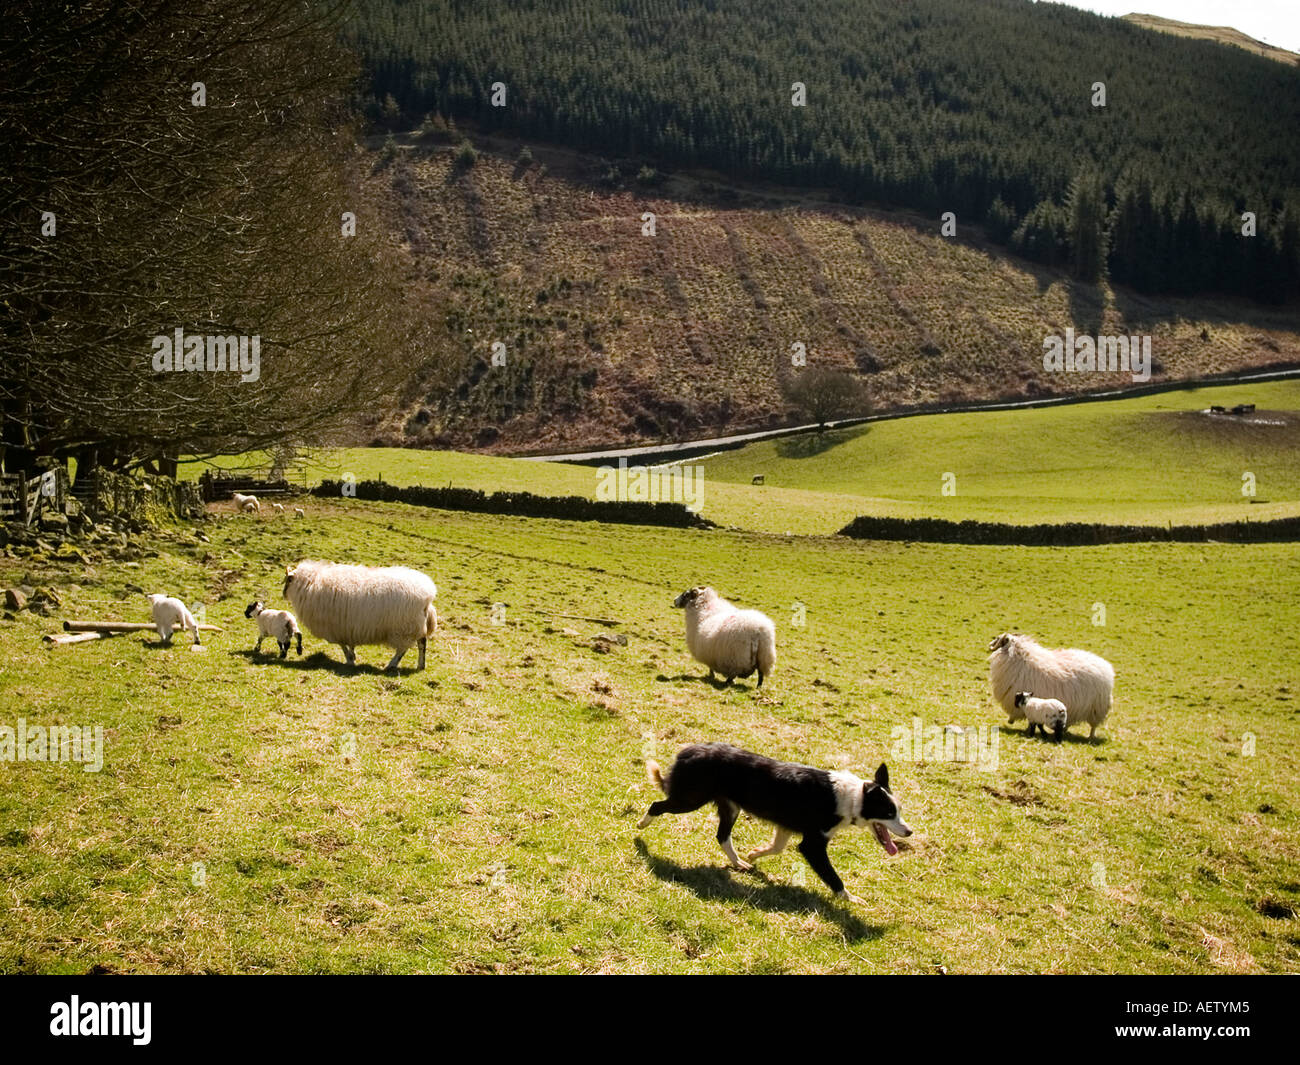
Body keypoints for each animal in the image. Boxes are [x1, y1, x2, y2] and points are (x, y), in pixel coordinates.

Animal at [282, 559, 438, 672]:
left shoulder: (336, 628)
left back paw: (392, 664)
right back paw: (420, 665)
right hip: (413, 626)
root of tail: (428, 595)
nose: (283, 595)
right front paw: (353, 656)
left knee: (404, 649)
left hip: (405, 628)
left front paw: (350, 659)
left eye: (288, 580)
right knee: (421, 643)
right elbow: (349, 644)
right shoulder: (347, 627)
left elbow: (343, 646)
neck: (310, 583)